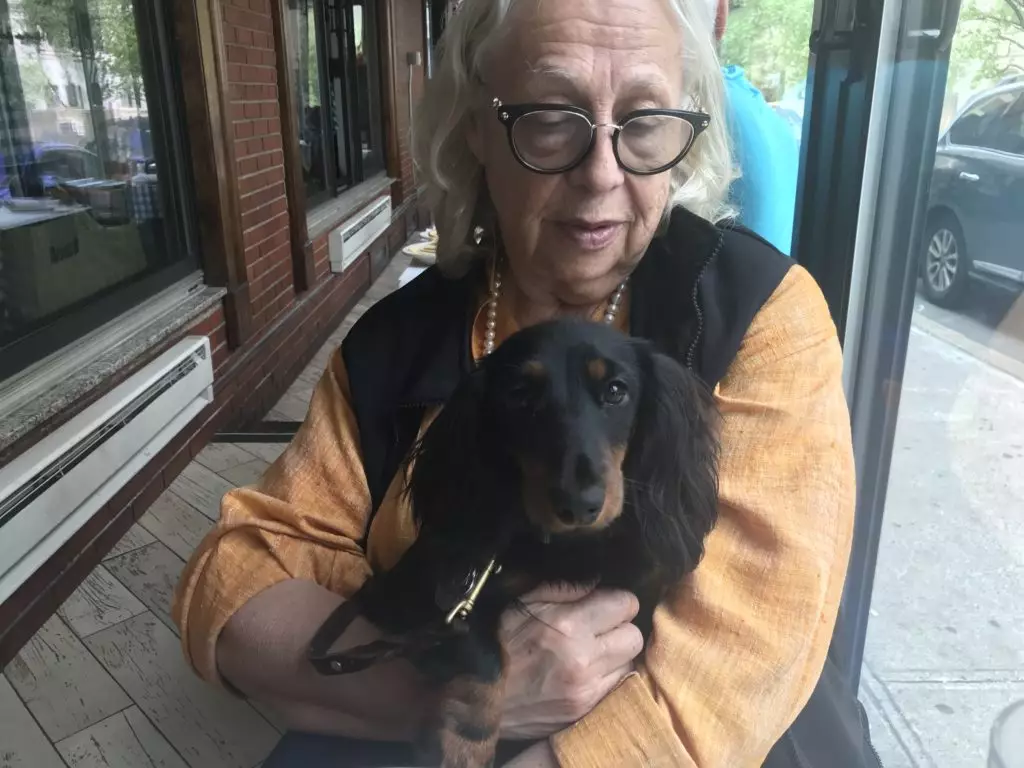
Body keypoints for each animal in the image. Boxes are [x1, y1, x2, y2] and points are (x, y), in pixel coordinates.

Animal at [311, 319, 720, 768]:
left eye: (616, 391)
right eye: (520, 395)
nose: (579, 504)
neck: (566, 547)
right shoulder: (454, 590)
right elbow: (483, 655)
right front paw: (465, 743)